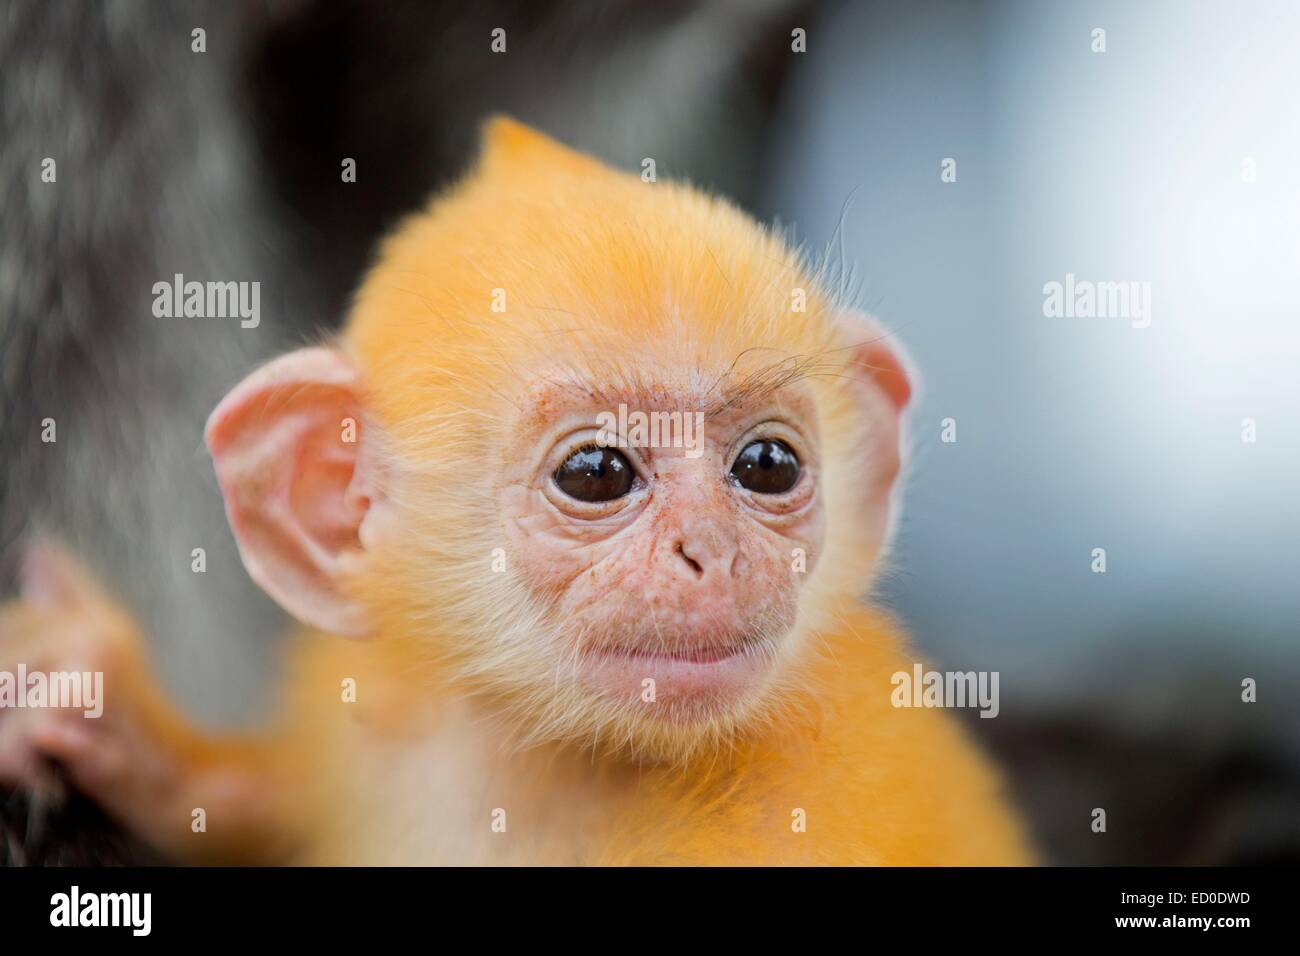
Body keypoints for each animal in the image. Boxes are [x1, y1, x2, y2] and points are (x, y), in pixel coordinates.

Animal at [0, 119, 1031, 865]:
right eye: (596, 474)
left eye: (766, 467)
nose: (716, 549)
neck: (550, 770)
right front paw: (126, 729)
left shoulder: (811, 804)